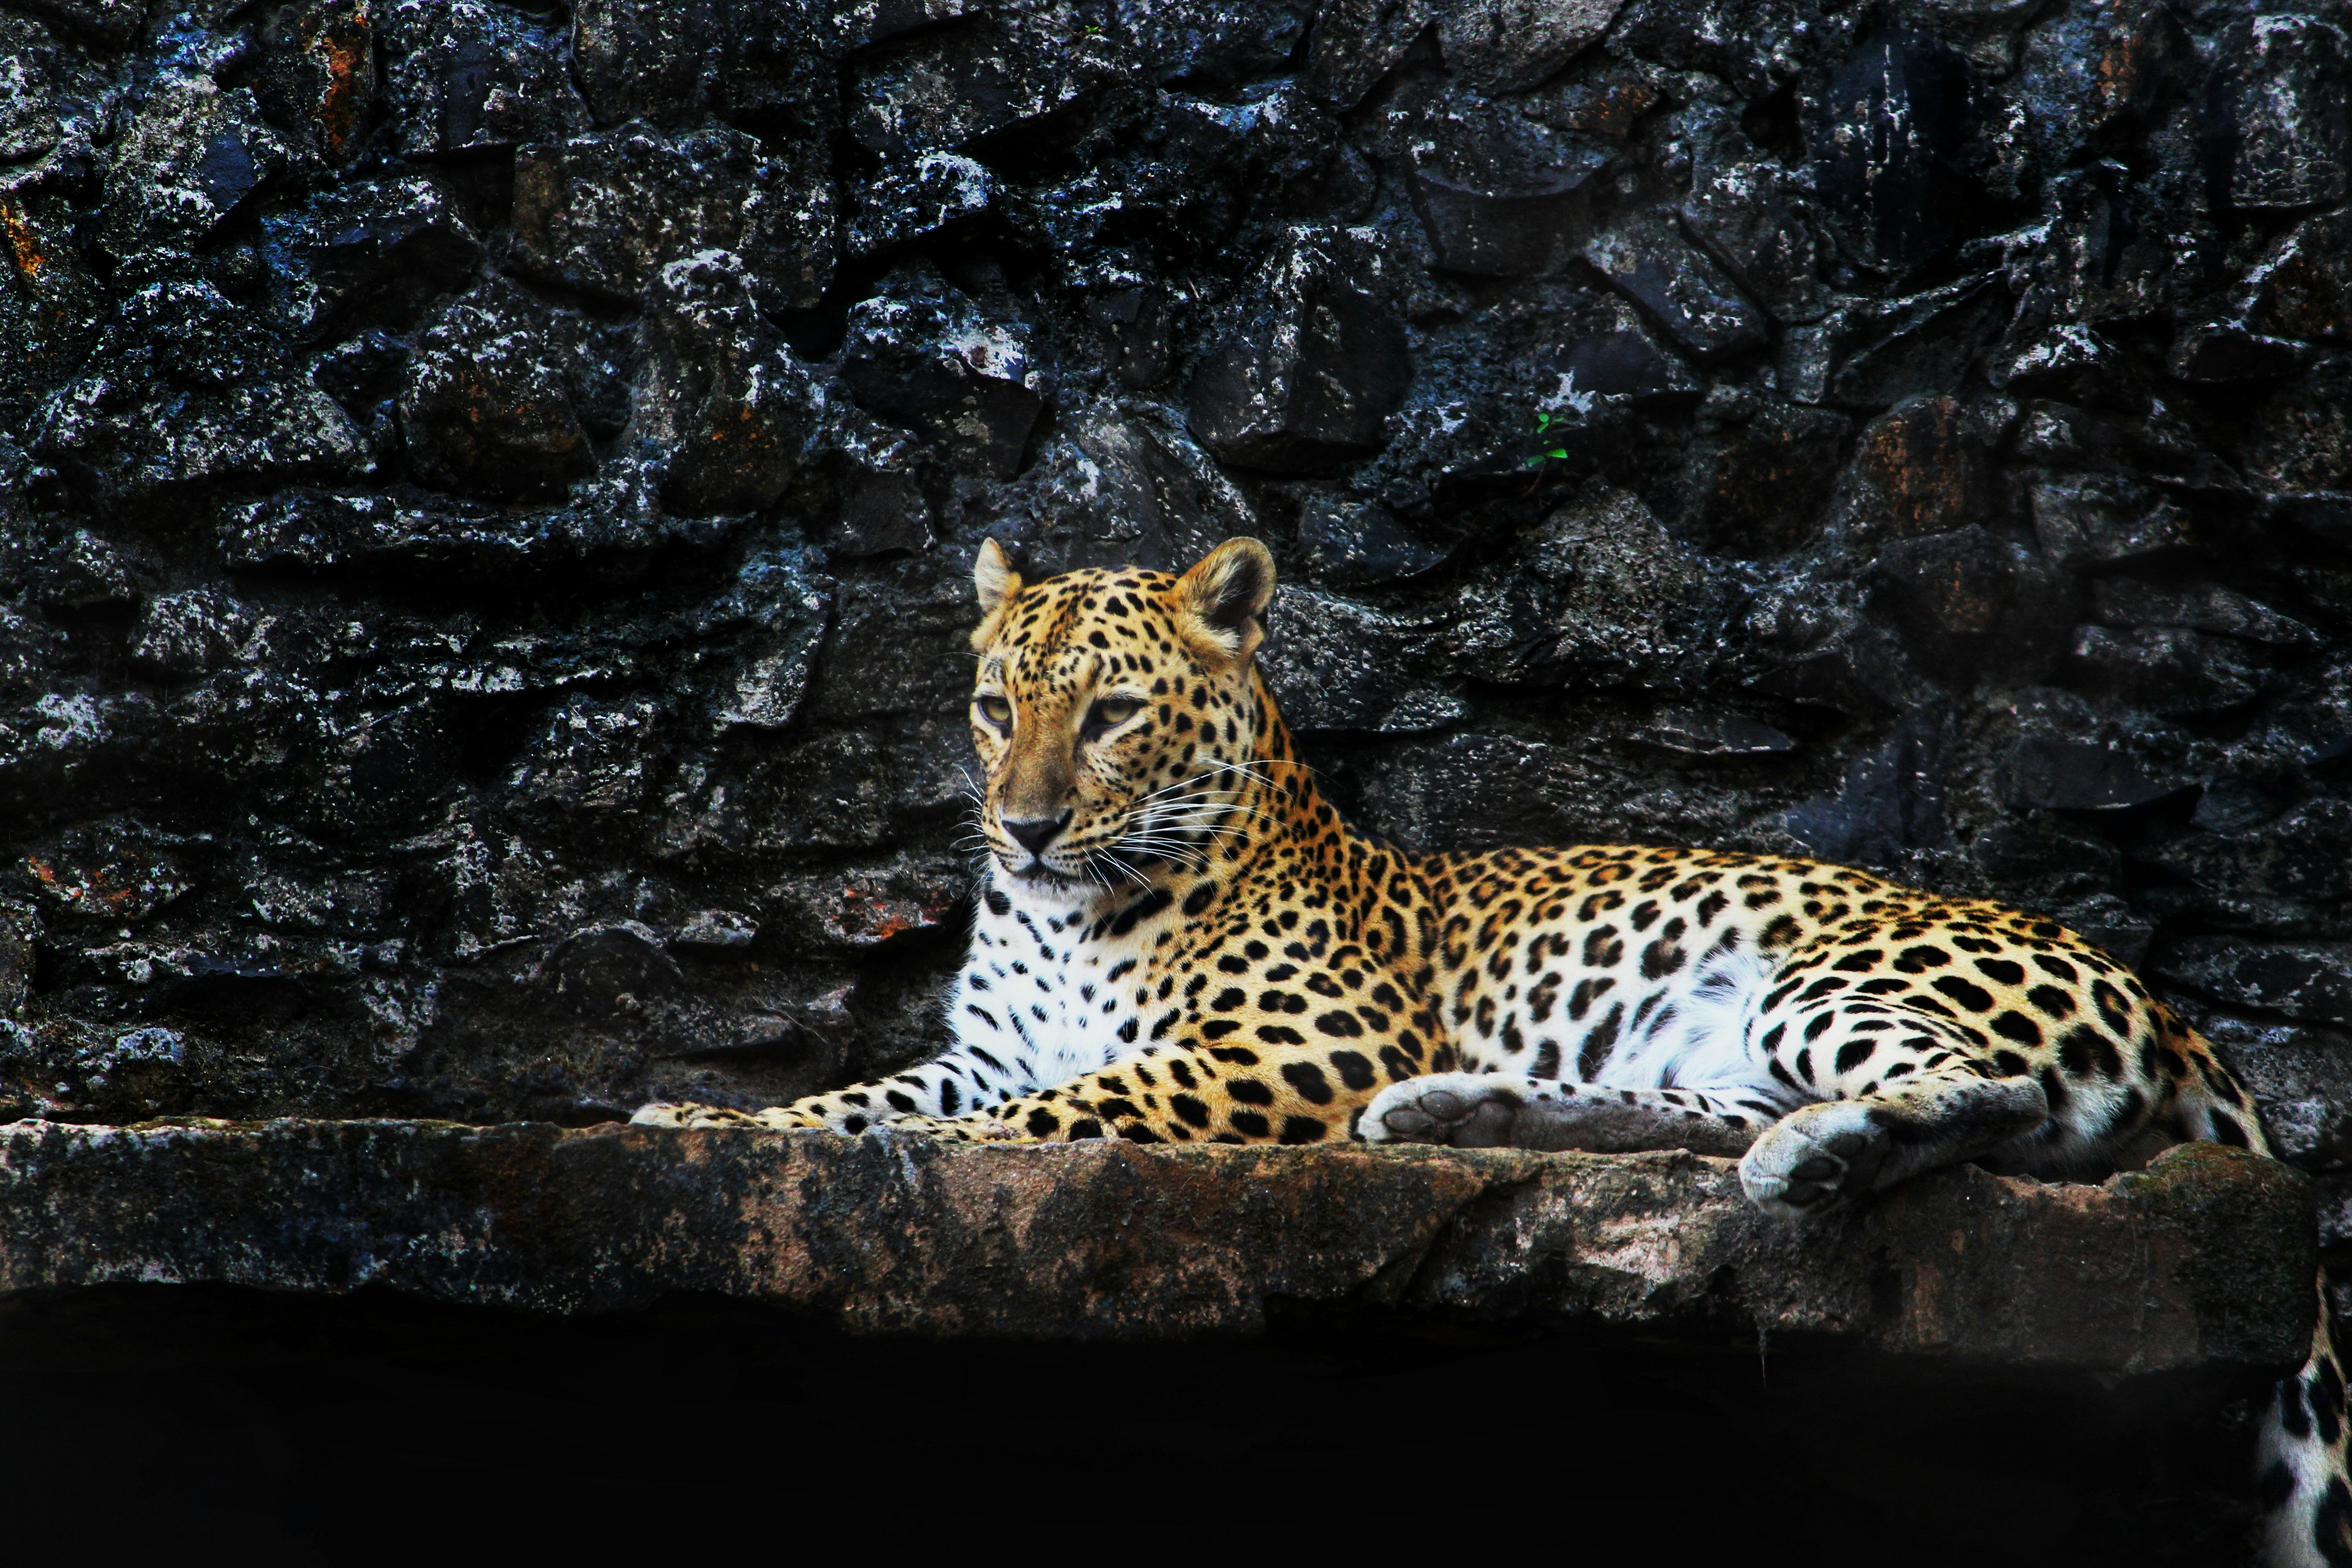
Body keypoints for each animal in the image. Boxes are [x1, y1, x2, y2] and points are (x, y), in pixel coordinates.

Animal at [636, 534, 2350, 1566]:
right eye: (996, 708)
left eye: (1114, 714)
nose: (1027, 827)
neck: (1063, 915)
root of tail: (2173, 1003)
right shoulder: (987, 1048)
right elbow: (861, 1091)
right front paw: (705, 1127)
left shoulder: (1303, 1041)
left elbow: (1092, 1096)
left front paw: (948, 1154)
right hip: (1733, 1036)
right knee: (1704, 1119)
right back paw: (1465, 1112)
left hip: (1831, 978)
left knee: (1987, 1104)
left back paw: (1811, 1154)